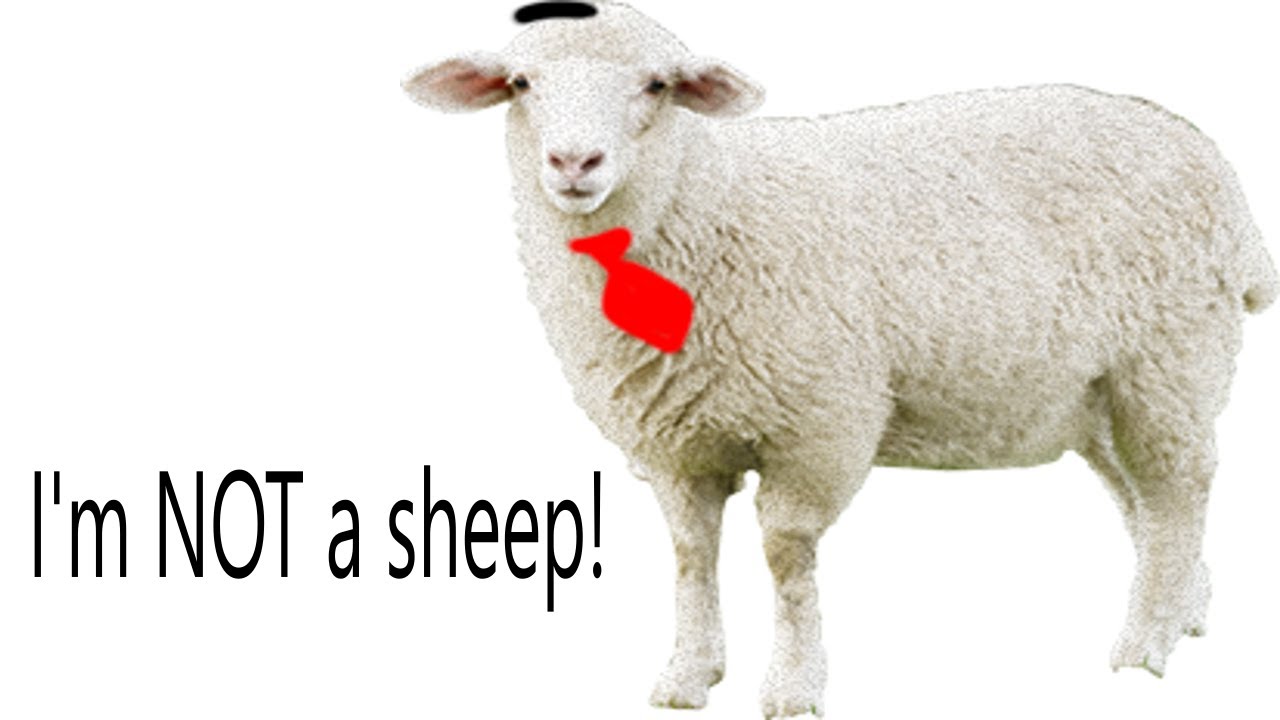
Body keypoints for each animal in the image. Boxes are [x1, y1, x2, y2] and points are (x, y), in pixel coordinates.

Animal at [401, 2, 1278, 716]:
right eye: (520, 82)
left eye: (656, 85)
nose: (574, 164)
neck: (702, 207)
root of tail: (1210, 159)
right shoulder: (674, 445)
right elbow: (691, 555)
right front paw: (688, 676)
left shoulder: (818, 426)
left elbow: (785, 556)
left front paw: (793, 687)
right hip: (1099, 393)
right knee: (1145, 502)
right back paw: (1185, 607)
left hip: (1170, 360)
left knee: (1181, 490)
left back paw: (1147, 642)